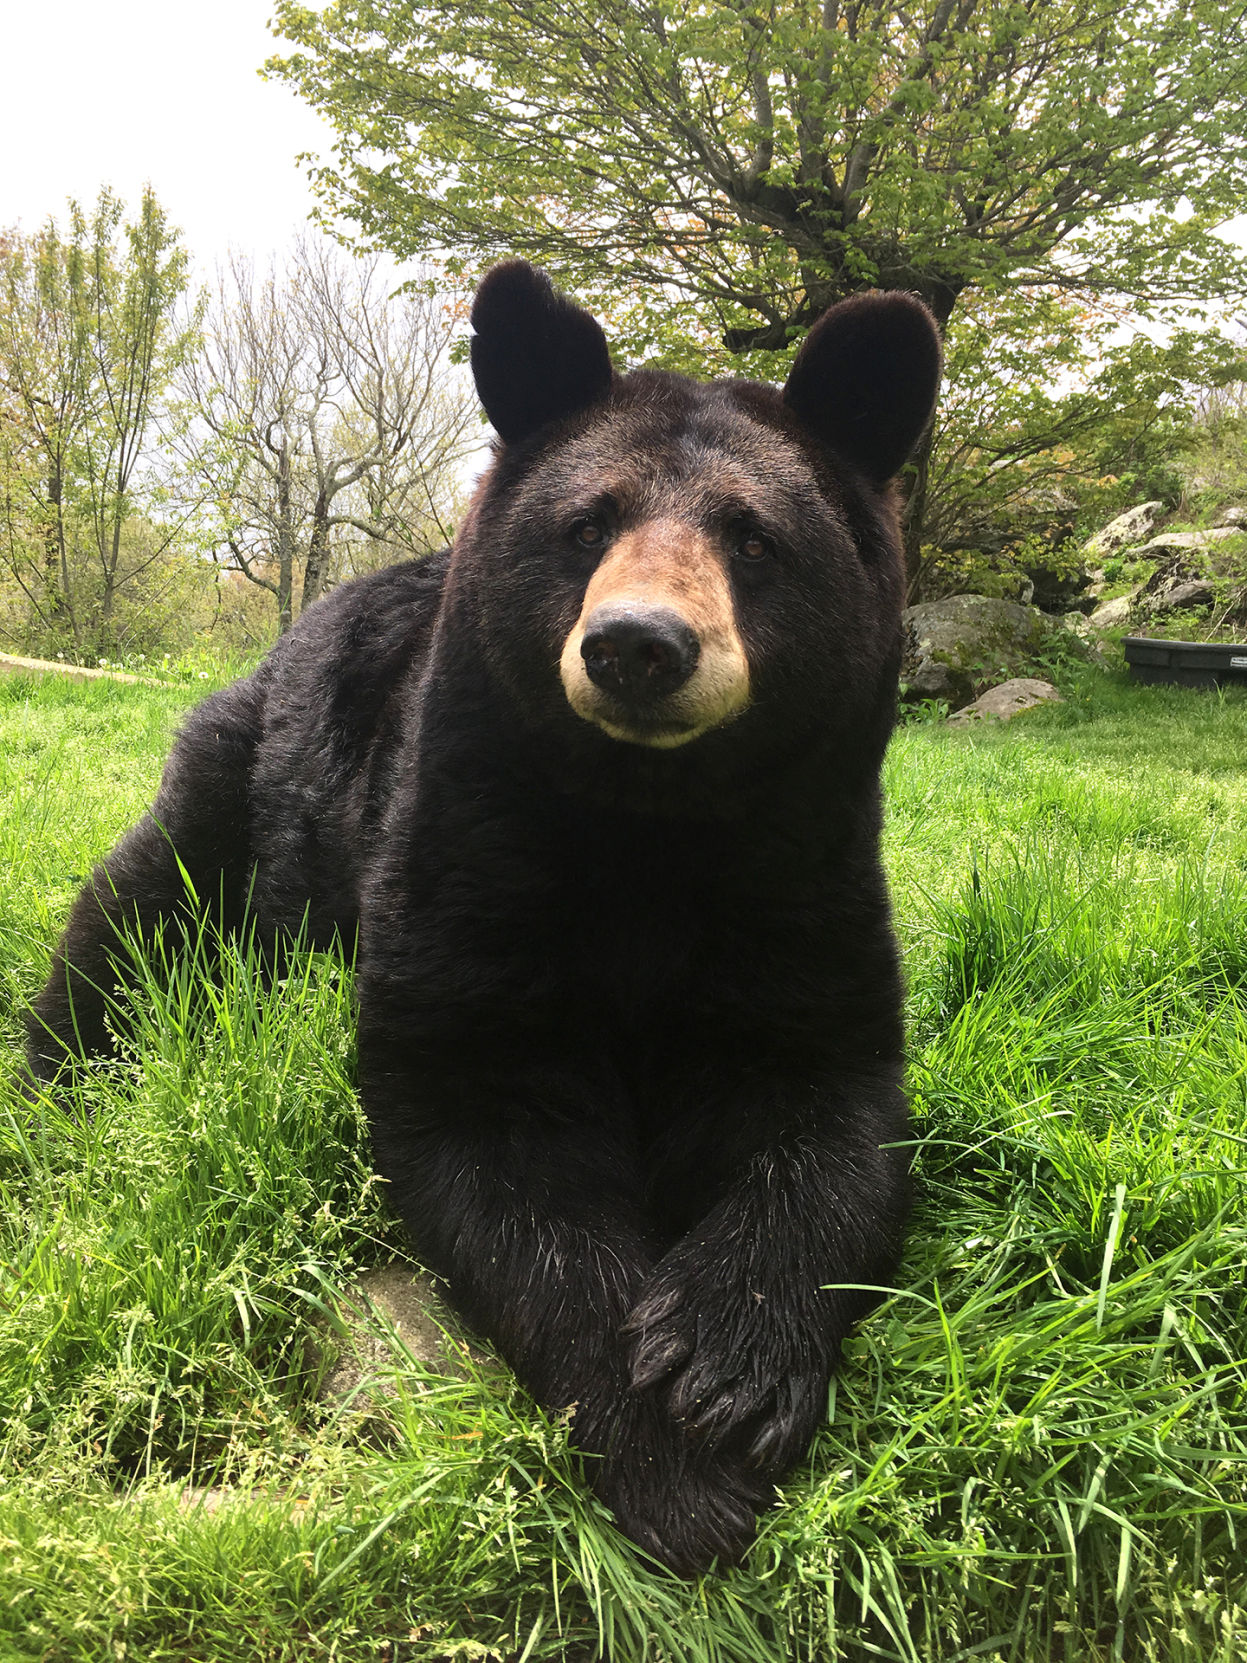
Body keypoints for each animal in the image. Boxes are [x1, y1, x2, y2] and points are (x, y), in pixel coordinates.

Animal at [27, 261, 941, 1574]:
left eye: (752, 535)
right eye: (585, 525)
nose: (637, 645)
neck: (649, 817)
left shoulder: (802, 865)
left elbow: (829, 1106)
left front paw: (724, 1367)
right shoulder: (467, 848)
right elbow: (492, 1131)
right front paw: (671, 1459)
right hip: (235, 780)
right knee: (130, 917)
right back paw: (69, 1083)